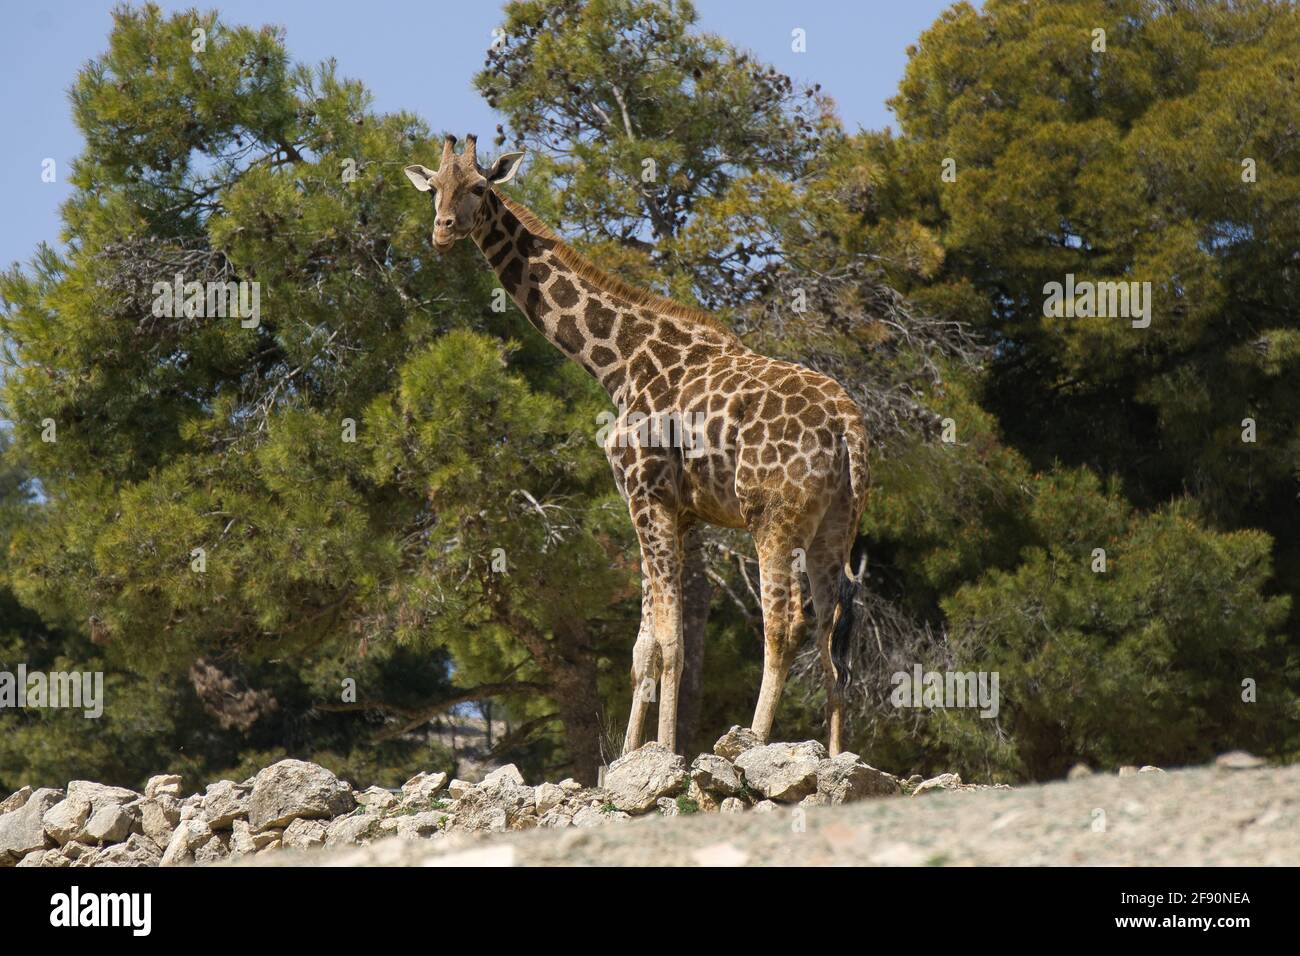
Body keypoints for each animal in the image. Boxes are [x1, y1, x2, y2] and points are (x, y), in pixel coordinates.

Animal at [405, 135, 871, 757]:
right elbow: (648, 643)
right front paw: (632, 756)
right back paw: (837, 757)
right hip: (834, 526)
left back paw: (751, 743)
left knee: (785, 624)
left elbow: (668, 639)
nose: (443, 230)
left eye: (480, 187)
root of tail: (849, 427)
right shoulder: (683, 511)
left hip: (774, 516)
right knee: (832, 630)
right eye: (434, 187)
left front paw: (666, 753)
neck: (617, 363)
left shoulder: (645, 493)